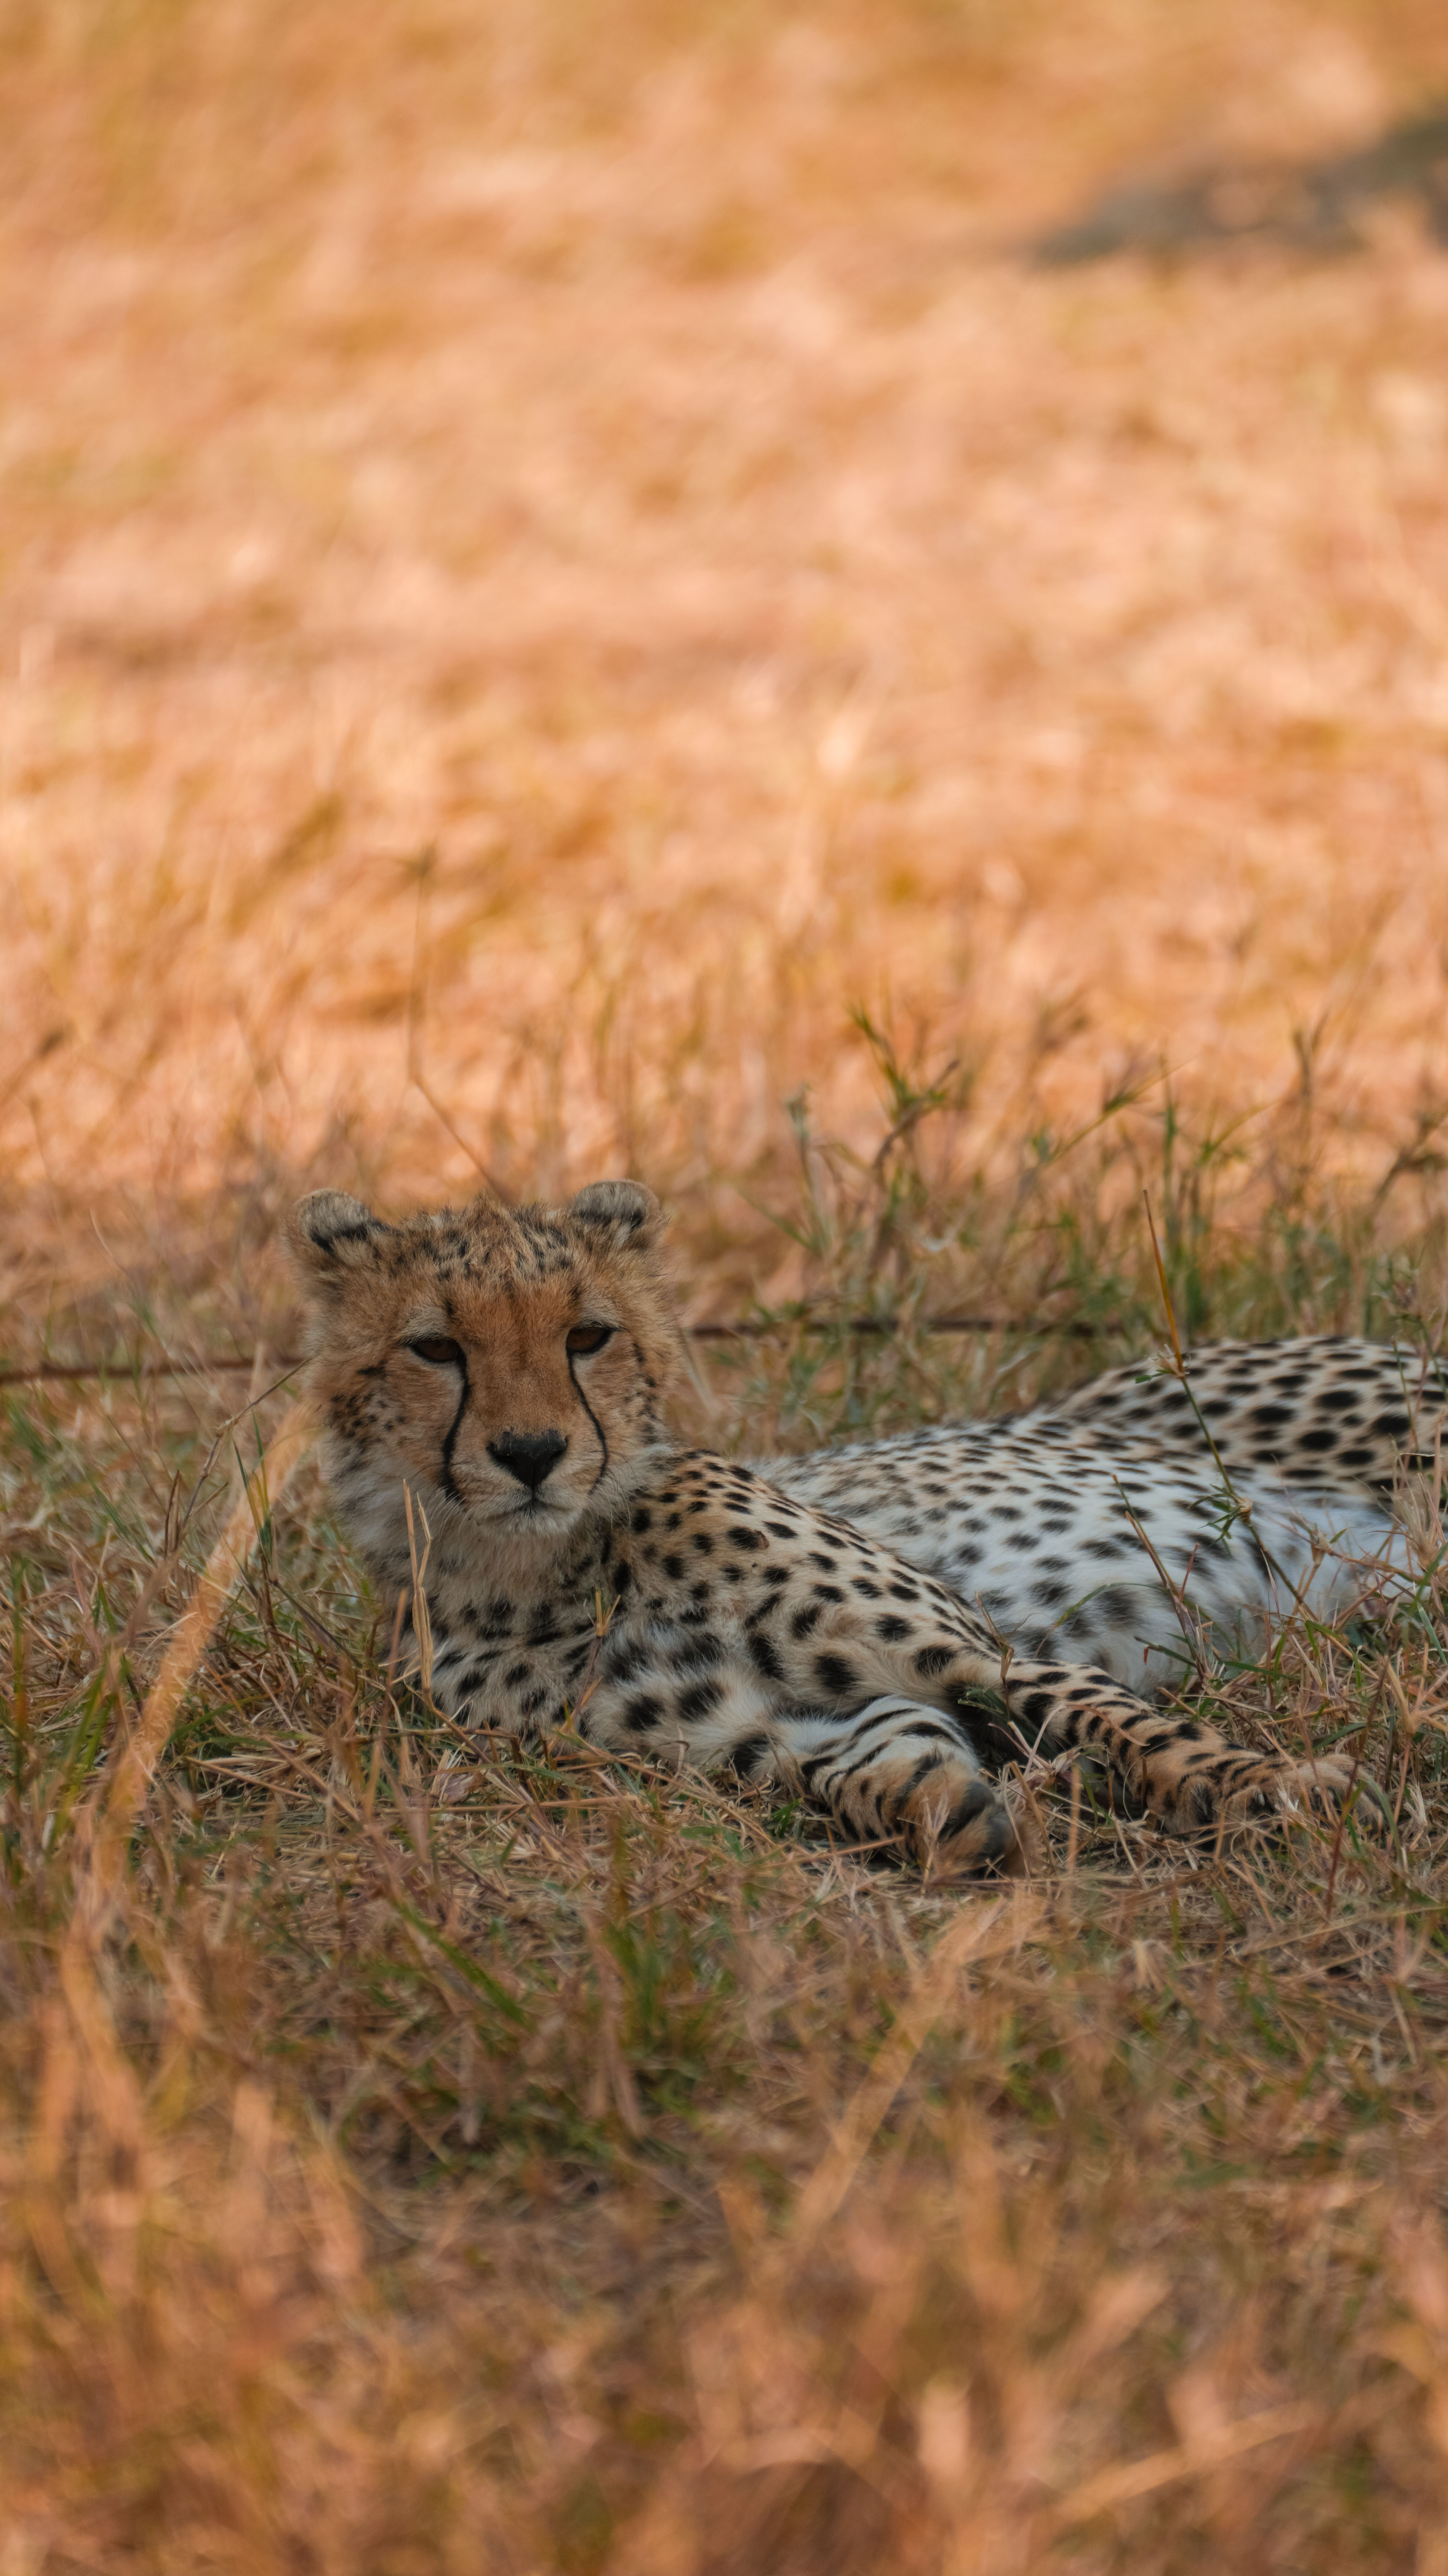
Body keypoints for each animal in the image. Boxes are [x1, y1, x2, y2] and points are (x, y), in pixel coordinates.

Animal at [286, 1177, 1407, 1879]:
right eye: (436, 1348)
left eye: (587, 1335)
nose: (530, 1453)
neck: (546, 1568)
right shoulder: (758, 1732)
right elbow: (874, 1759)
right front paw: (944, 1811)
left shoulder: (978, 1650)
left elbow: (1135, 1726)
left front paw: (1274, 1785)